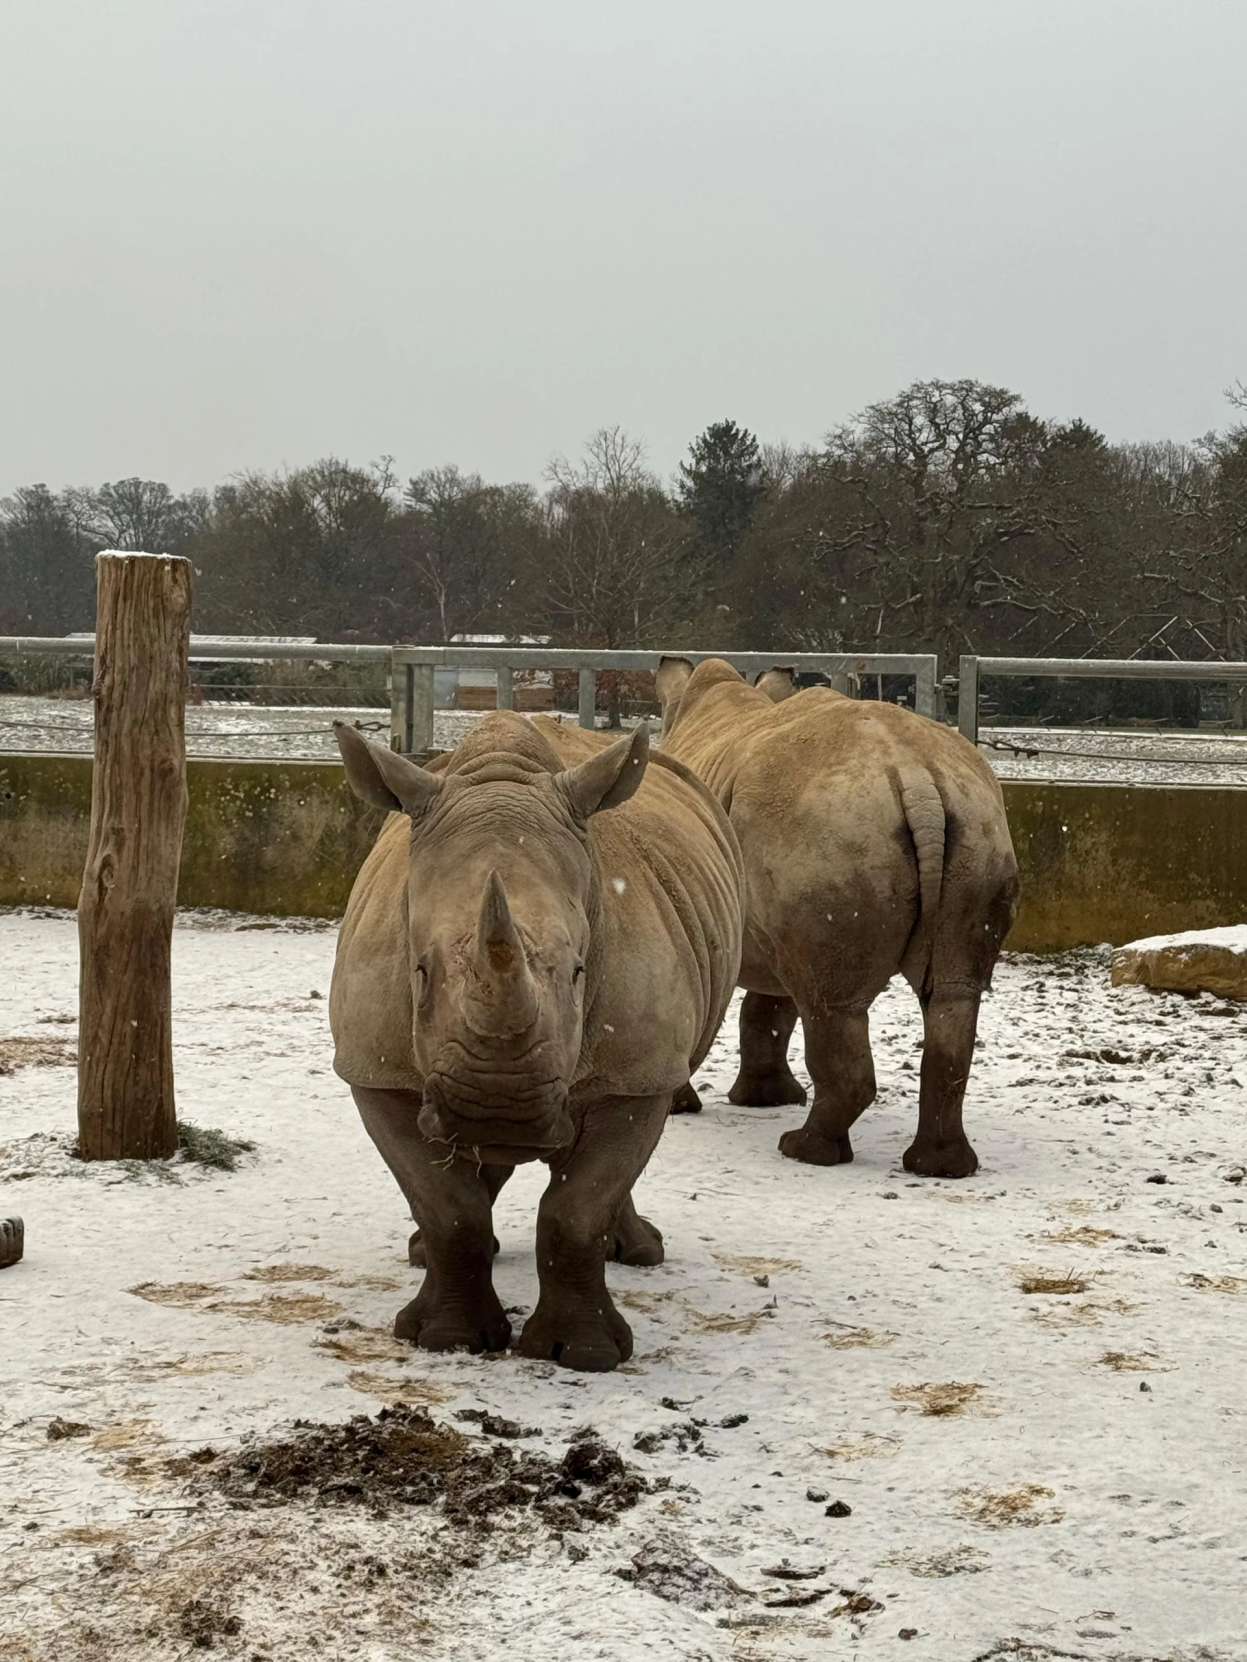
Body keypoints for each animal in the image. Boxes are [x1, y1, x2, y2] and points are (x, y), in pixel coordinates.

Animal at [330, 711, 742, 1371]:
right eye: (418, 971)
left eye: (578, 972)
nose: (499, 1110)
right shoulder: (374, 1069)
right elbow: (449, 1210)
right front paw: (446, 1339)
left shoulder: (636, 1065)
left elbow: (577, 1211)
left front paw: (585, 1354)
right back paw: (426, 1246)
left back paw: (637, 1253)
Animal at [656, 658, 1018, 1178]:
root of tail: (917, 776)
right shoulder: (766, 931)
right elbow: (768, 1009)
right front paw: (764, 1100)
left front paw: (680, 1107)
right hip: (977, 824)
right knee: (949, 994)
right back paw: (941, 1166)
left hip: (825, 828)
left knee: (829, 1003)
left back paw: (802, 1150)